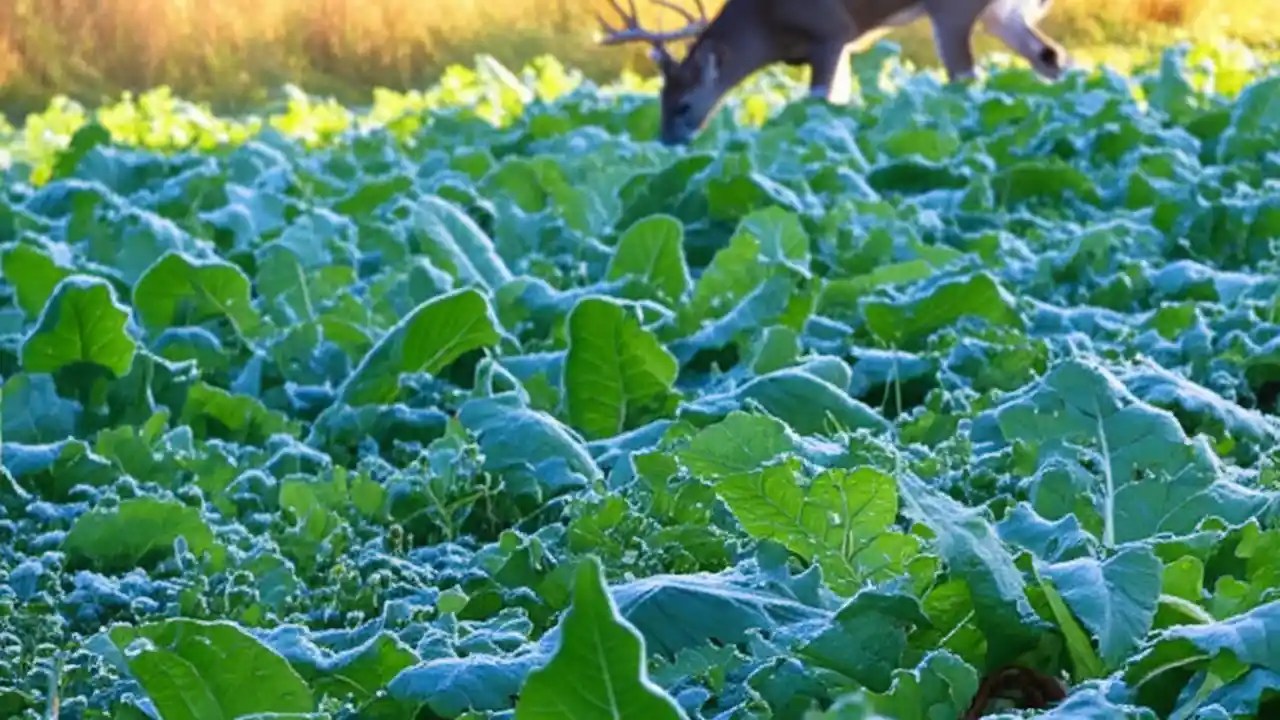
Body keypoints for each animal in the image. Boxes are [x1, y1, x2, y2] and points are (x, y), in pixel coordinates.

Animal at [597, 0, 1071, 145]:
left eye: (683, 105)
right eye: (659, 101)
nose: (666, 143)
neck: (765, 26)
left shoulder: (830, 34)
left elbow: (819, 101)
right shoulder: (837, 47)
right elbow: (843, 100)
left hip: (951, 12)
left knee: (965, 78)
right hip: (999, 12)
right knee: (1051, 58)